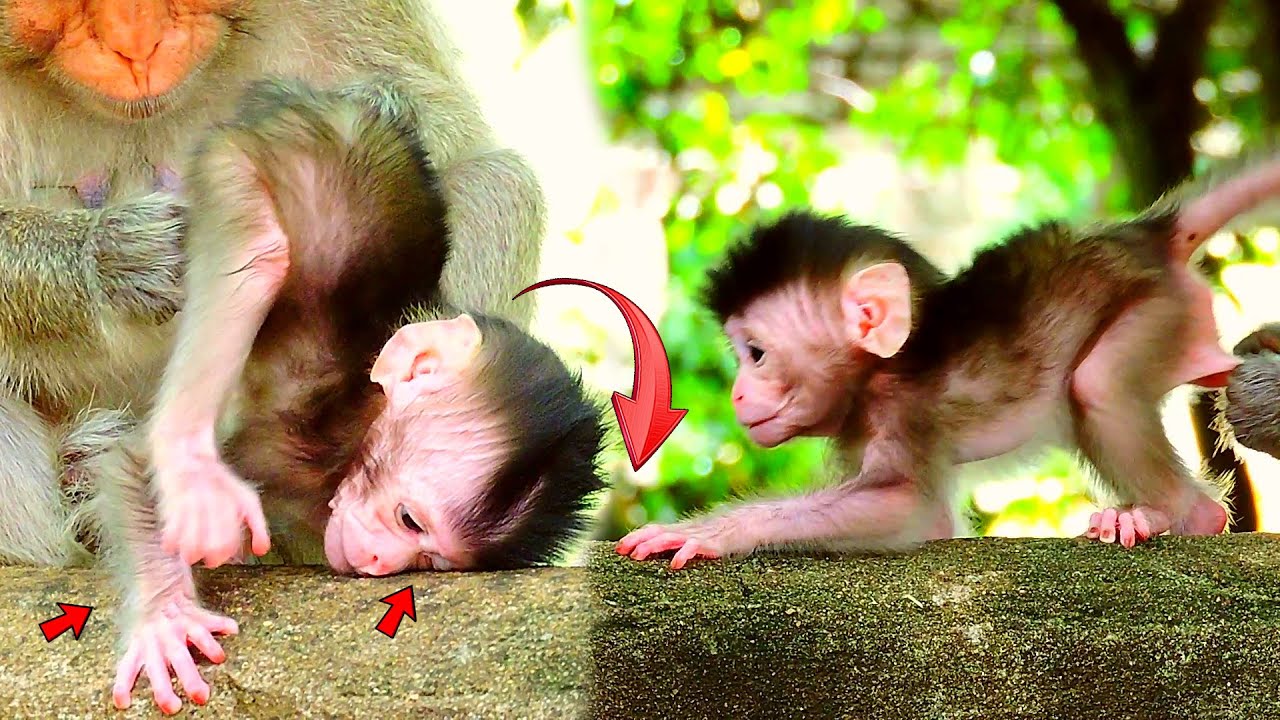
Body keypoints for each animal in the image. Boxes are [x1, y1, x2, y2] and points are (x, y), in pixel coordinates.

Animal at [95, 78, 607, 714]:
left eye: (432, 562)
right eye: (410, 519)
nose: (381, 562)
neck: (358, 422)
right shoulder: (287, 437)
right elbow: (137, 463)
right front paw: (166, 615)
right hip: (240, 165)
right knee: (261, 251)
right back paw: (185, 451)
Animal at [616, 152, 1280, 570]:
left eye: (755, 354)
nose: (737, 393)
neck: (880, 369)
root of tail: (1145, 236)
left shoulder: (902, 410)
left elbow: (911, 508)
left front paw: (714, 532)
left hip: (1155, 309)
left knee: (1099, 384)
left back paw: (1176, 516)